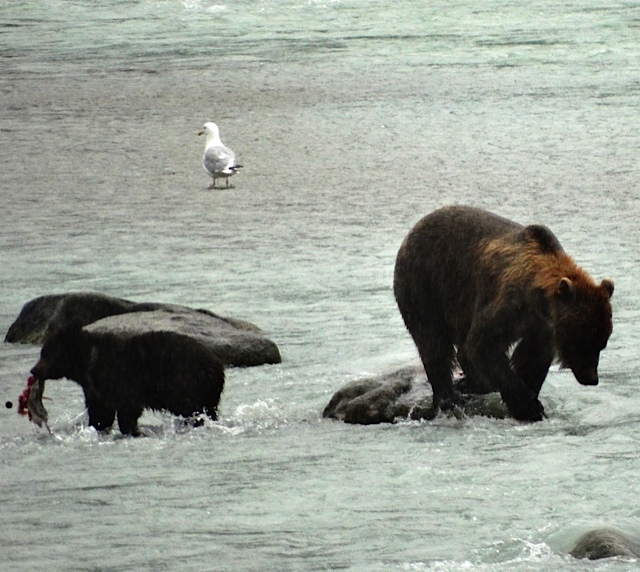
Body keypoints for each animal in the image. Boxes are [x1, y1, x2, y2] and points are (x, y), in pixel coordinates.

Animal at [30, 320, 225, 435]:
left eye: (46, 354)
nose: (33, 370)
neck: (89, 362)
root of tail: (217, 366)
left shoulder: (119, 377)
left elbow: (128, 407)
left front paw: (131, 430)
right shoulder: (95, 388)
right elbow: (101, 411)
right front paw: (97, 426)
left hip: (188, 383)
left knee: (194, 410)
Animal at [393, 205, 614, 422]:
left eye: (601, 344)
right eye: (583, 342)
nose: (592, 378)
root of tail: (410, 233)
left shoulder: (541, 326)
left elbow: (533, 356)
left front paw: (530, 392)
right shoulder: (508, 304)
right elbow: (483, 344)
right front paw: (527, 406)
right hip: (425, 285)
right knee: (433, 343)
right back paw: (449, 397)